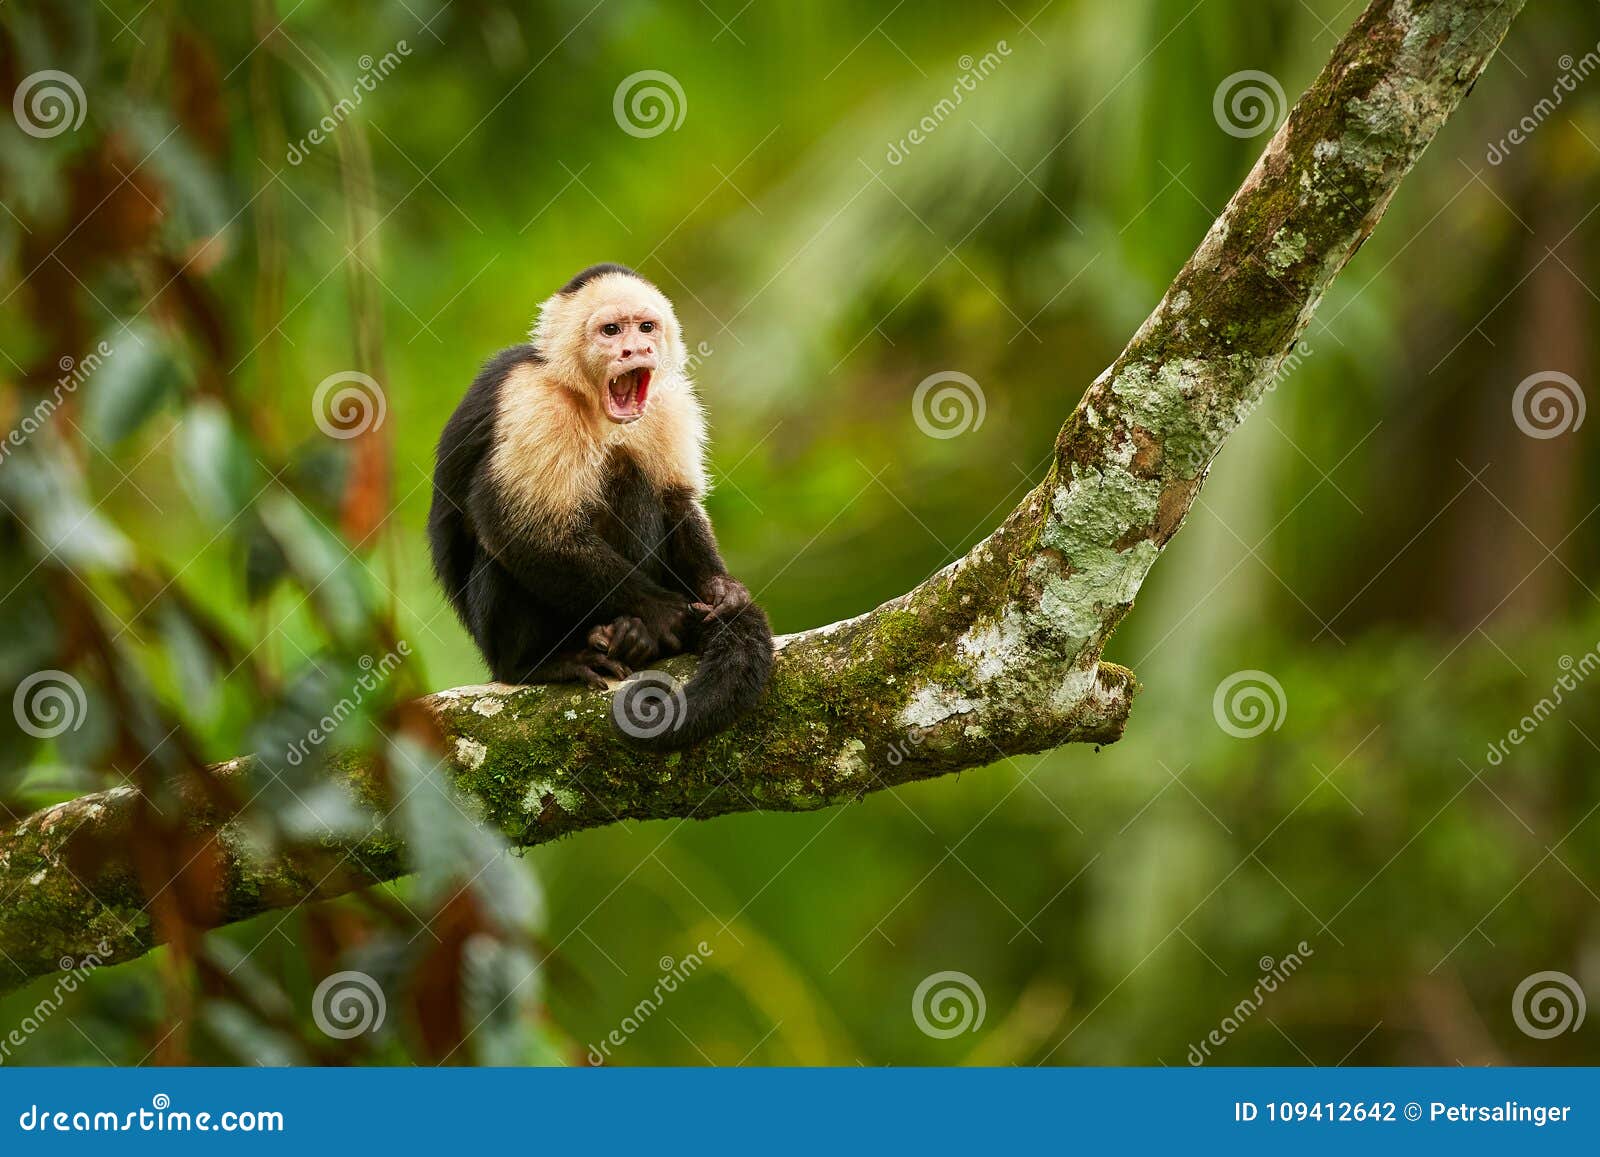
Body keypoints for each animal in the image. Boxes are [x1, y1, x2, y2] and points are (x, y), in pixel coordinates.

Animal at [427, 263, 773, 750]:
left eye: (646, 327)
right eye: (611, 331)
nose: (638, 349)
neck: (592, 402)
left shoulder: (668, 400)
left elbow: (676, 499)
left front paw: (721, 589)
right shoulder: (532, 402)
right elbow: (518, 528)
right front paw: (664, 612)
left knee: (630, 473)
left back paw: (631, 637)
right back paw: (539, 663)